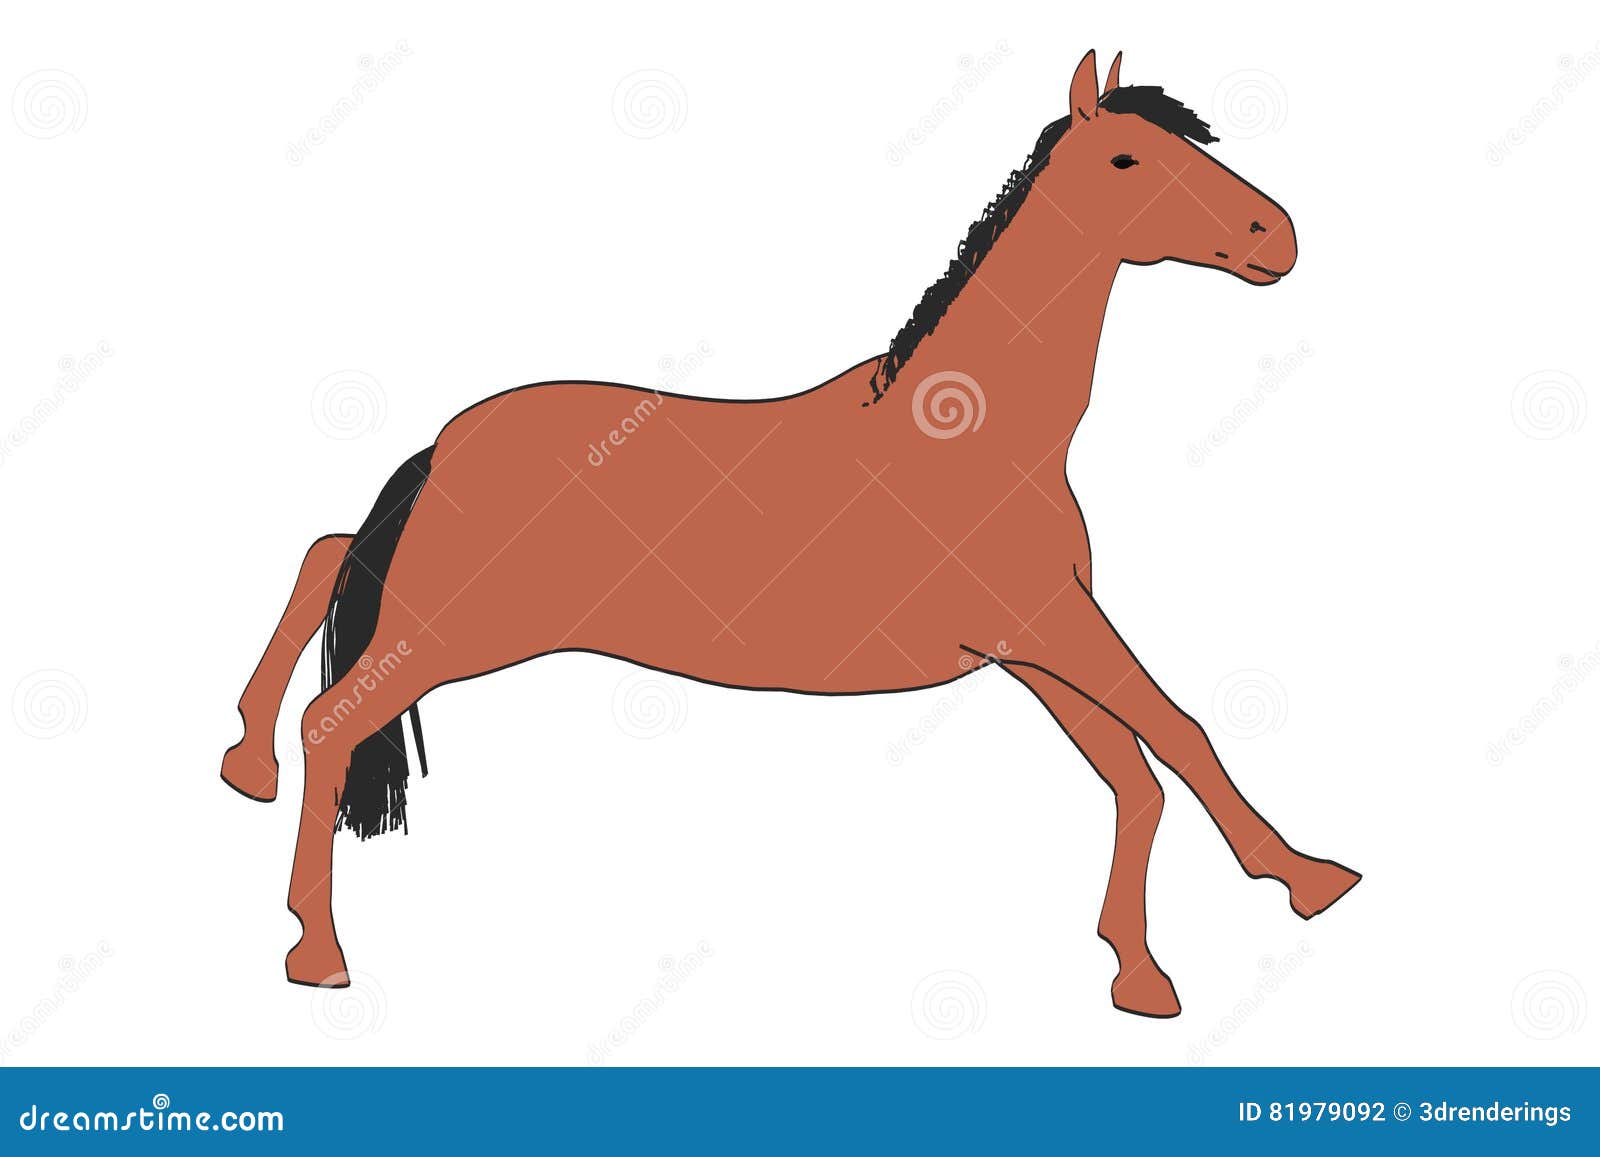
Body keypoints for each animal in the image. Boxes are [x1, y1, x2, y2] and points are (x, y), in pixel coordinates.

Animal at [222, 49, 1359, 1018]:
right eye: (1128, 160)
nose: (1278, 236)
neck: (973, 434)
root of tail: (447, 445)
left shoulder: (1030, 646)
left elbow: (1135, 772)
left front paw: (1140, 969)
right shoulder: (1051, 622)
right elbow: (1182, 733)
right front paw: (1309, 882)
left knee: (325, 556)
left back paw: (246, 765)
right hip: (451, 631)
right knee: (330, 718)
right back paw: (315, 952)